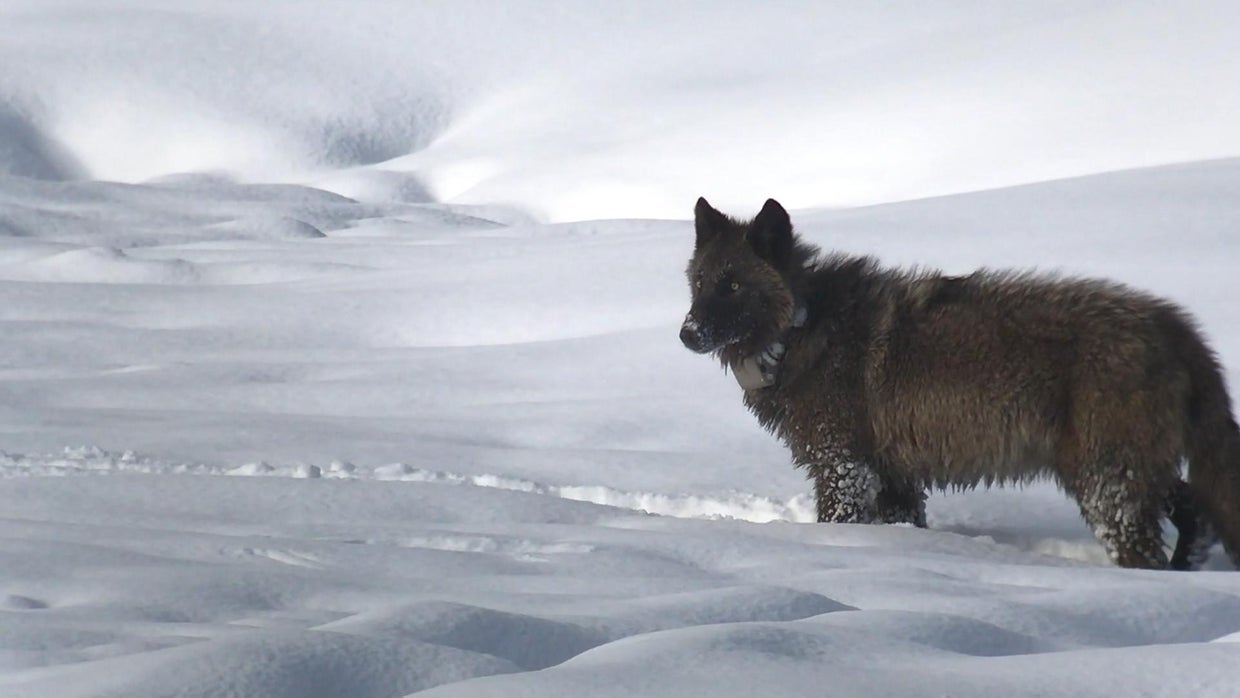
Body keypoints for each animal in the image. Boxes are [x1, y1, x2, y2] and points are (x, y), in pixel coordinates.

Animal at [680, 197, 1240, 570]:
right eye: (701, 283)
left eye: (734, 285)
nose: (687, 334)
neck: (802, 326)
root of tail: (1175, 325)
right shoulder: (895, 477)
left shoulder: (844, 468)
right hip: (1138, 468)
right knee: (1197, 515)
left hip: (1105, 482)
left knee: (1147, 548)